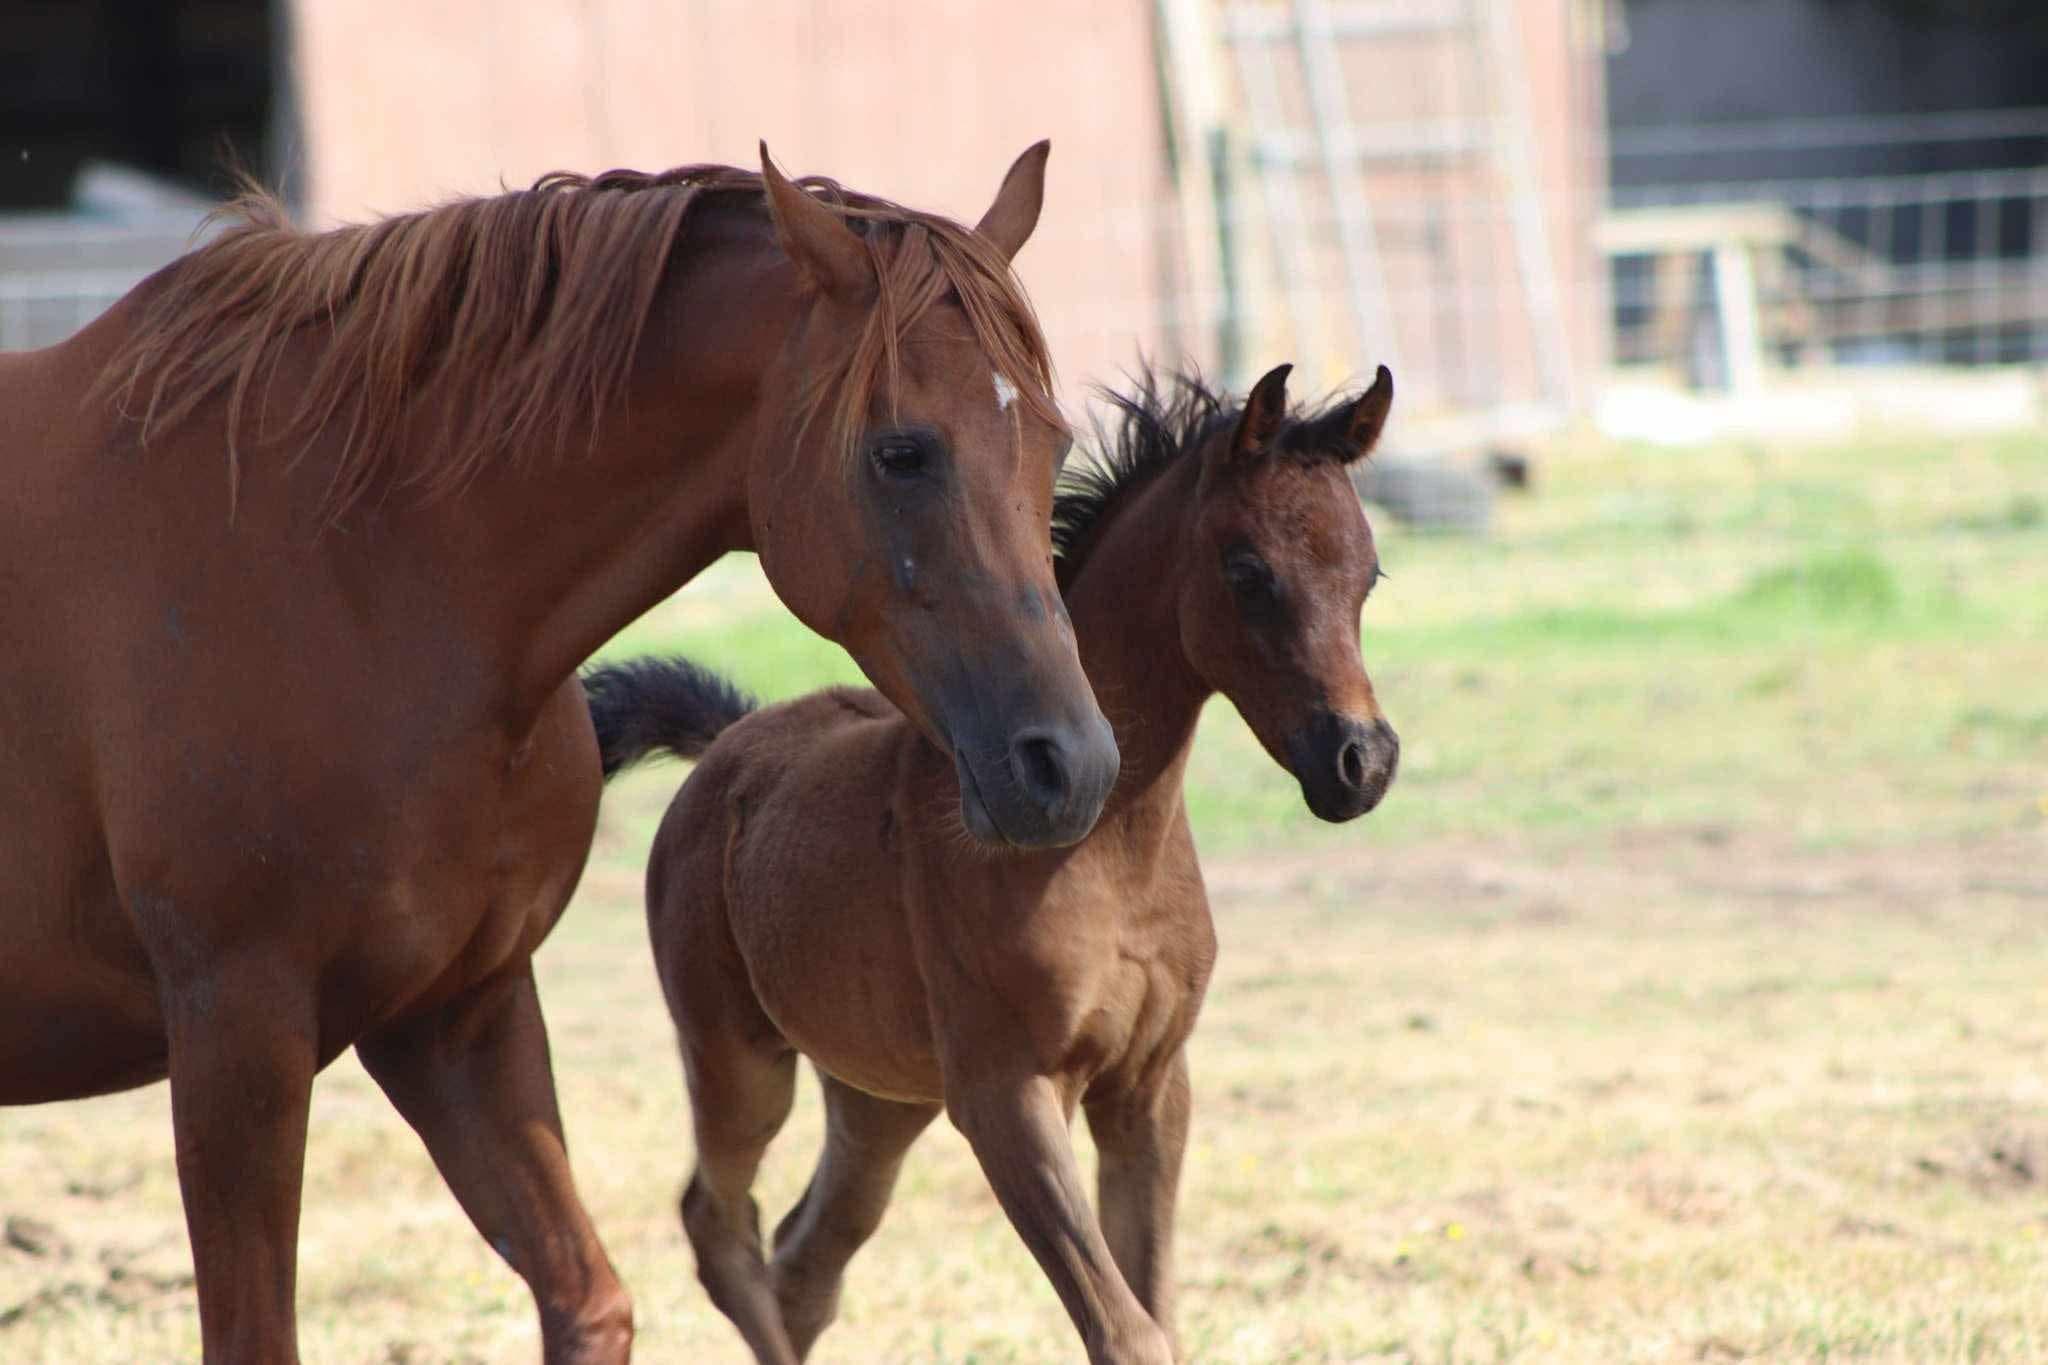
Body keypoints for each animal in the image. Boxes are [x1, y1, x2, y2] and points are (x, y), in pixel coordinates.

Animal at [0, 142, 1120, 1363]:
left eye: (1054, 441)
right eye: (901, 452)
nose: (1069, 765)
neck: (351, 571)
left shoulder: (456, 1014)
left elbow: (588, 1298)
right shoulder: (238, 1030)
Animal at [588, 361, 1399, 1364]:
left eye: (1369, 571)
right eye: (1248, 571)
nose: (1360, 761)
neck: (1108, 844)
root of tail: (729, 743)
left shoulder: (1149, 1087)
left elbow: (1155, 1310)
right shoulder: (1006, 1093)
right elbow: (1128, 1331)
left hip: (879, 1095)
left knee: (806, 1258)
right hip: (738, 1057)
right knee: (719, 1224)